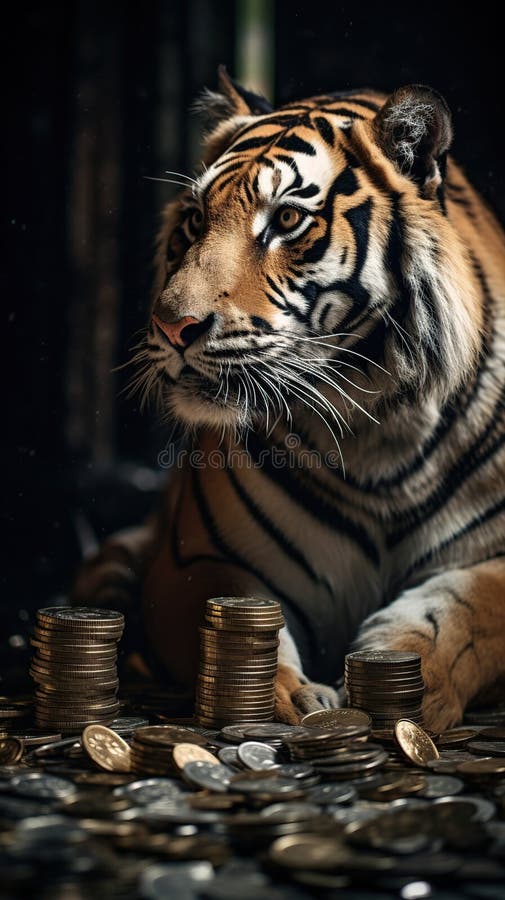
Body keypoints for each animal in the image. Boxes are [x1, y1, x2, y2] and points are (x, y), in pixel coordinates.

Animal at [72, 67, 505, 731]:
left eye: (286, 221)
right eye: (195, 219)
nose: (171, 326)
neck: (377, 425)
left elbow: (468, 610)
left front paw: (410, 674)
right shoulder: (192, 564)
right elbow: (236, 621)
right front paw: (286, 695)